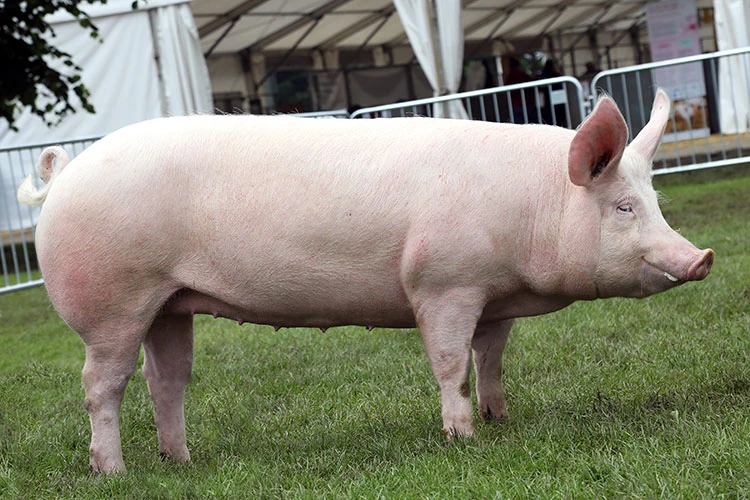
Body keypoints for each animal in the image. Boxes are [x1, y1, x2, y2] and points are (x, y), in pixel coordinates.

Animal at [17, 89, 713, 473]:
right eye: (623, 207)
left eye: (653, 200)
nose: (701, 257)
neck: (532, 206)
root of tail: (66, 173)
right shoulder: (443, 282)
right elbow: (450, 362)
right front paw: (462, 438)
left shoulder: (494, 298)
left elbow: (490, 358)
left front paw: (501, 420)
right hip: (113, 302)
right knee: (101, 386)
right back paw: (113, 473)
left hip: (169, 303)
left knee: (166, 382)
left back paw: (182, 462)